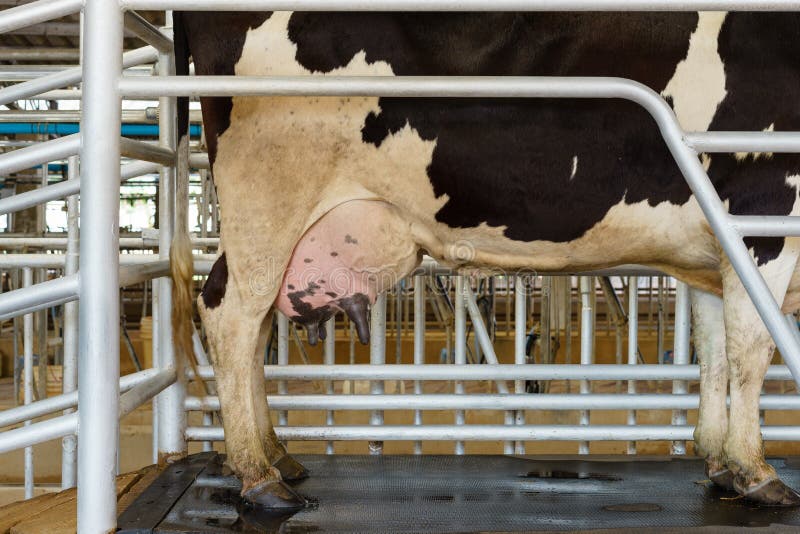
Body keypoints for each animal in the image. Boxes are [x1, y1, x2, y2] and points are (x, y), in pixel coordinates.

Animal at [171, 11, 800, 510]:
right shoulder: (763, 219)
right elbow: (753, 352)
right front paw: (757, 471)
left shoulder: (712, 255)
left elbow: (714, 354)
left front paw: (720, 463)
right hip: (269, 202)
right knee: (231, 316)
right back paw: (259, 477)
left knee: (250, 327)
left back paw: (276, 454)